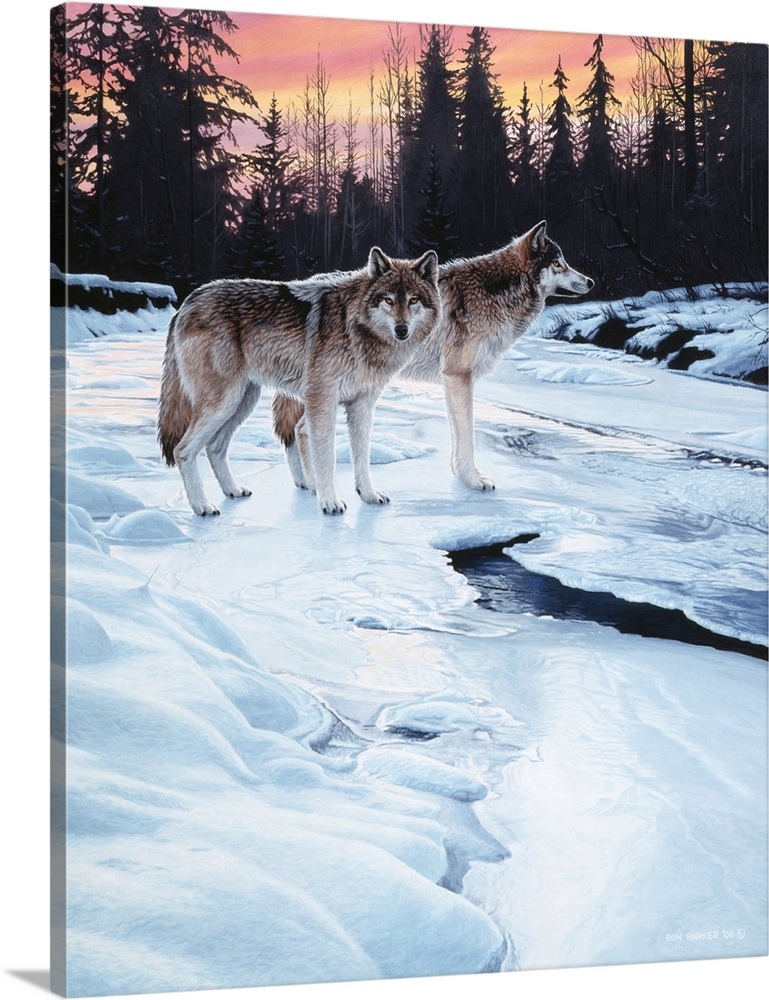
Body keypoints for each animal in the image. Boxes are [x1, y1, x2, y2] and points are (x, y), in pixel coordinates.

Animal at [157, 247, 441, 516]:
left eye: (413, 300)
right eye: (389, 300)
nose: (401, 330)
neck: (355, 326)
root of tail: (186, 304)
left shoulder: (362, 404)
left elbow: (362, 454)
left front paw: (368, 494)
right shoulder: (322, 400)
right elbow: (325, 456)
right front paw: (329, 502)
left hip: (242, 401)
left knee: (214, 447)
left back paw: (233, 490)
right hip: (223, 403)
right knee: (183, 450)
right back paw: (202, 506)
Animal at [272, 221, 592, 492]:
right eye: (558, 263)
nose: (590, 281)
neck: (495, 293)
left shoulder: (453, 380)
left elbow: (457, 433)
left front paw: (460, 476)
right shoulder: (458, 375)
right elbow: (468, 434)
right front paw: (472, 480)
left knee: (296, 429)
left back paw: (305, 484)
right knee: (302, 429)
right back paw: (316, 486)